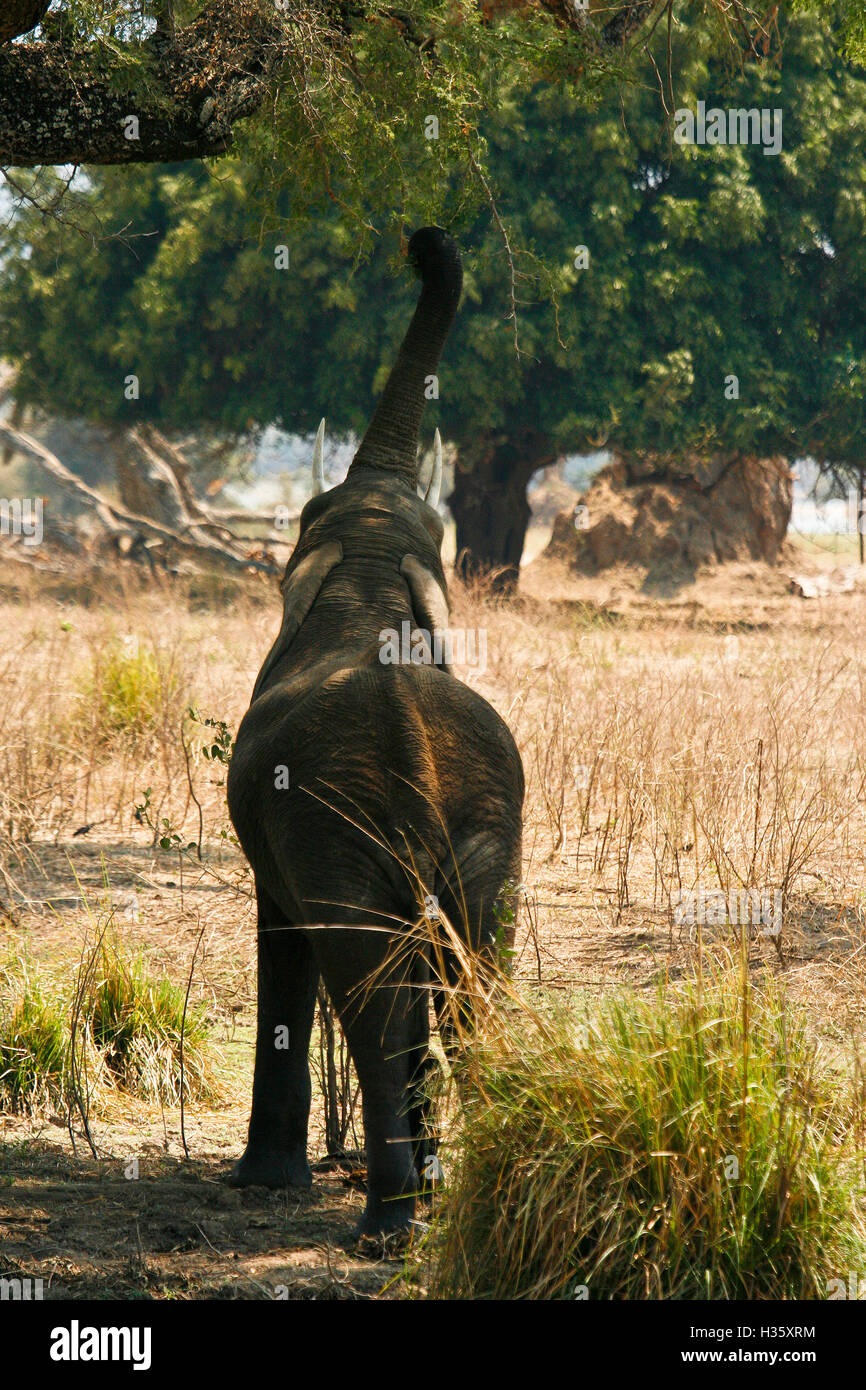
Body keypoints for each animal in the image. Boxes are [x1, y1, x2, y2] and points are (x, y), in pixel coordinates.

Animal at [226, 226, 525, 1240]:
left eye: (303, 519)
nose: (422, 242)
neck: (365, 573)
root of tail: (408, 748)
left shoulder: (284, 839)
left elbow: (283, 946)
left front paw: (258, 1184)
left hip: (339, 831)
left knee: (373, 994)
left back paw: (390, 1228)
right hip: (482, 832)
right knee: (471, 981)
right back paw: (447, 1197)